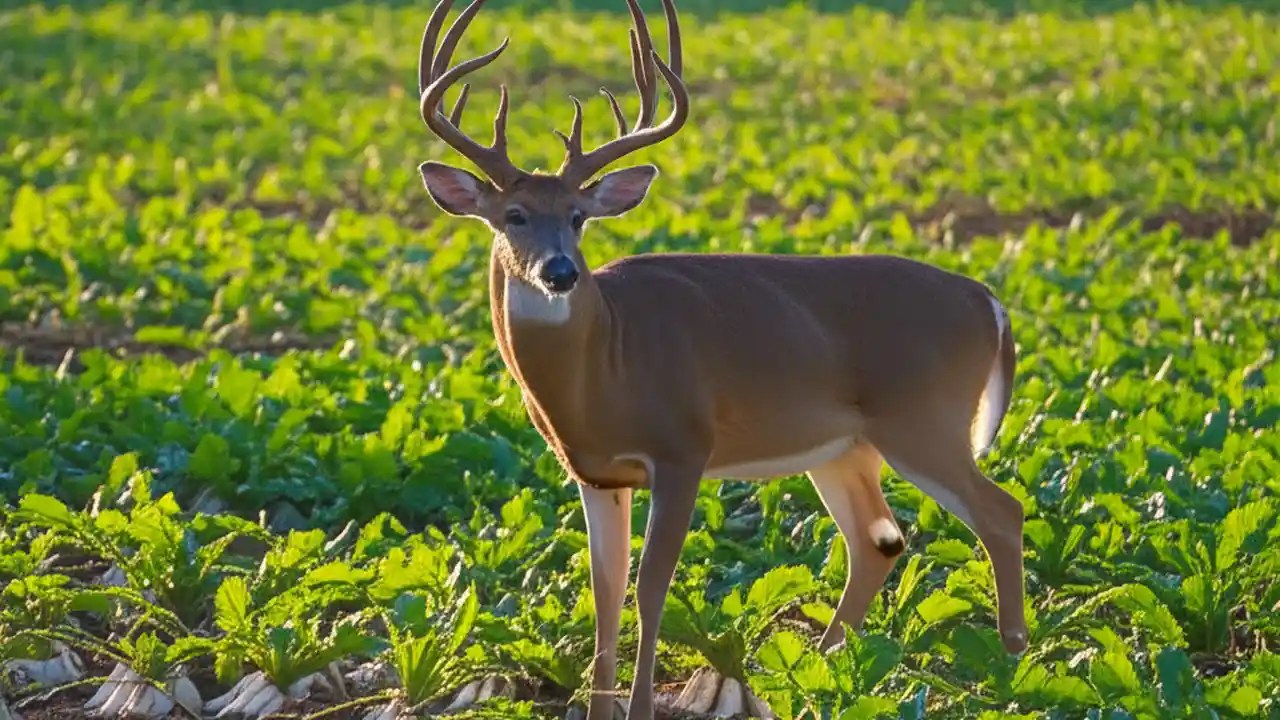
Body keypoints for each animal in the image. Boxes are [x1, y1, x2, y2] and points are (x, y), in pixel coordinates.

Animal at [412, 0, 1029, 718]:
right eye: (513, 214)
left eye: (577, 217)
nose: (561, 272)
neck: (602, 368)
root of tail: (989, 302)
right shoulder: (596, 474)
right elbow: (603, 594)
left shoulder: (683, 447)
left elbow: (650, 587)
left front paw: (641, 706)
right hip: (845, 447)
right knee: (879, 541)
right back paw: (817, 676)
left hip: (924, 419)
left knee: (1001, 513)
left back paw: (1011, 670)